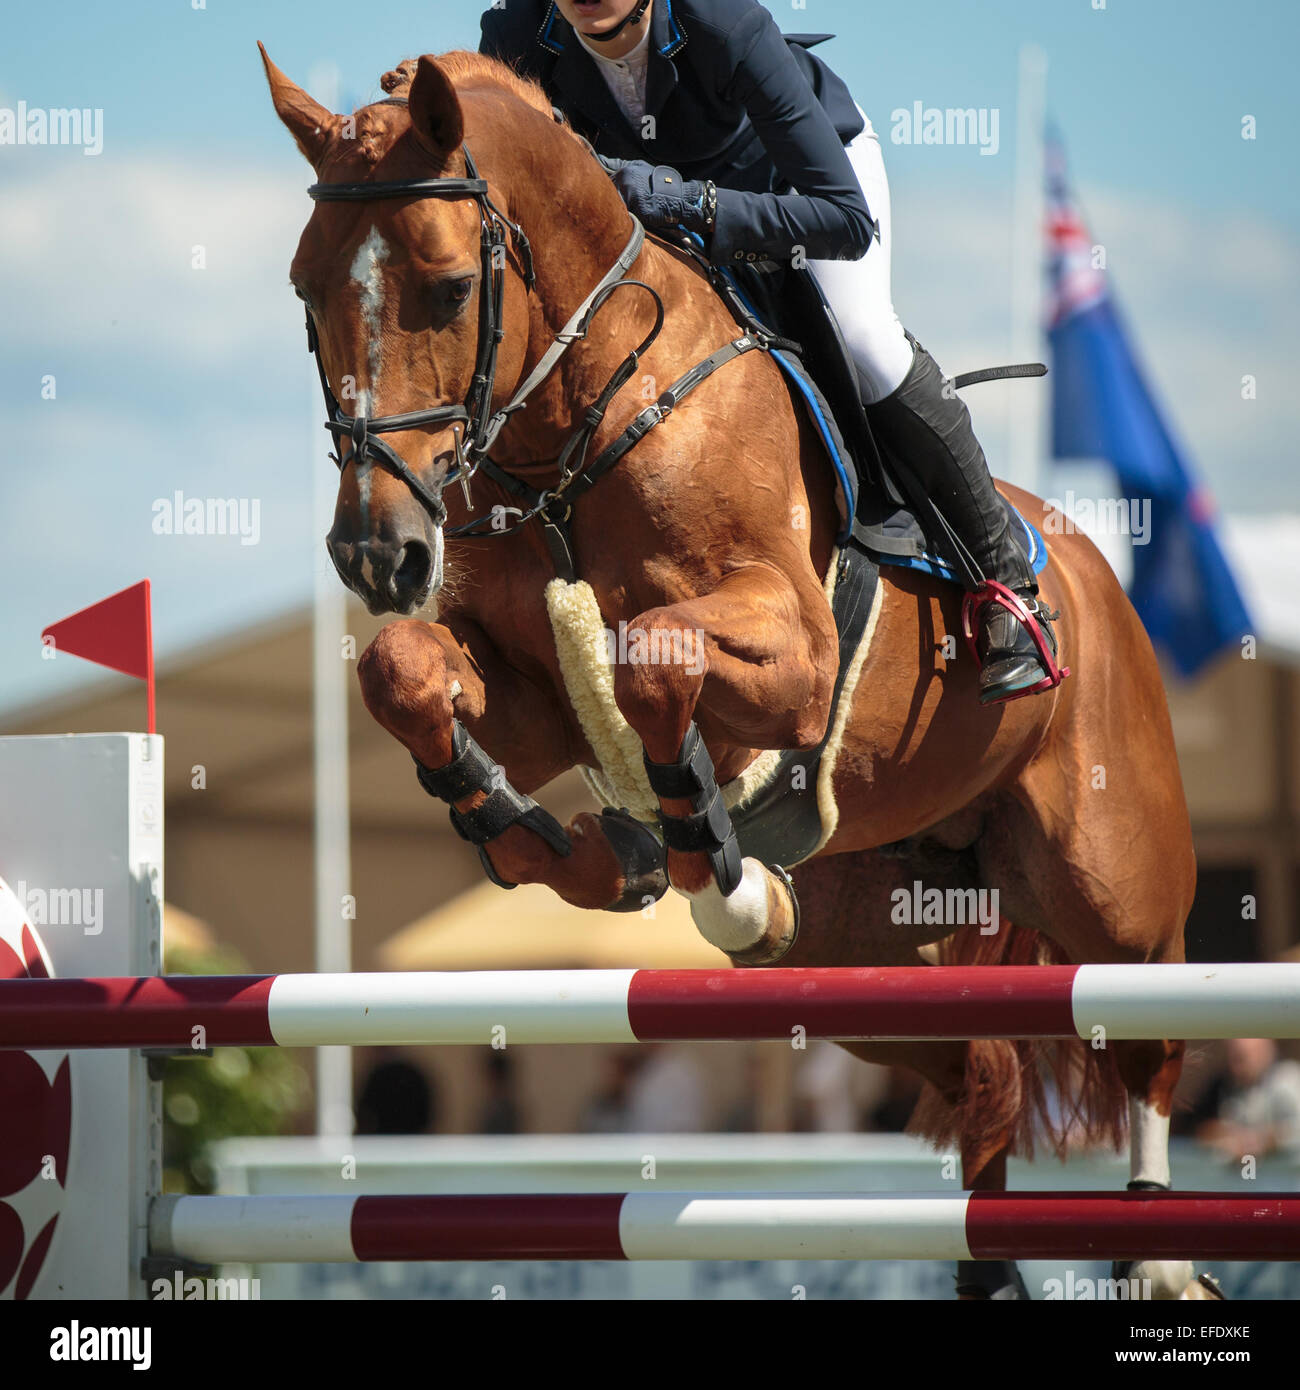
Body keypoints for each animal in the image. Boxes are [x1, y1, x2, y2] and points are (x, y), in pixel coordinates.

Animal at [261, 45, 1200, 1299]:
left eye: (451, 289)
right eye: (304, 292)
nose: (378, 553)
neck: (577, 422)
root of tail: (1097, 573)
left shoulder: (794, 651)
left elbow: (648, 662)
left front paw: (715, 857)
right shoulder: (521, 687)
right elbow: (408, 671)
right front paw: (551, 838)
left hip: (1108, 887)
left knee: (1145, 1041)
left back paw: (1160, 1258)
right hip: (873, 951)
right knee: (982, 1069)